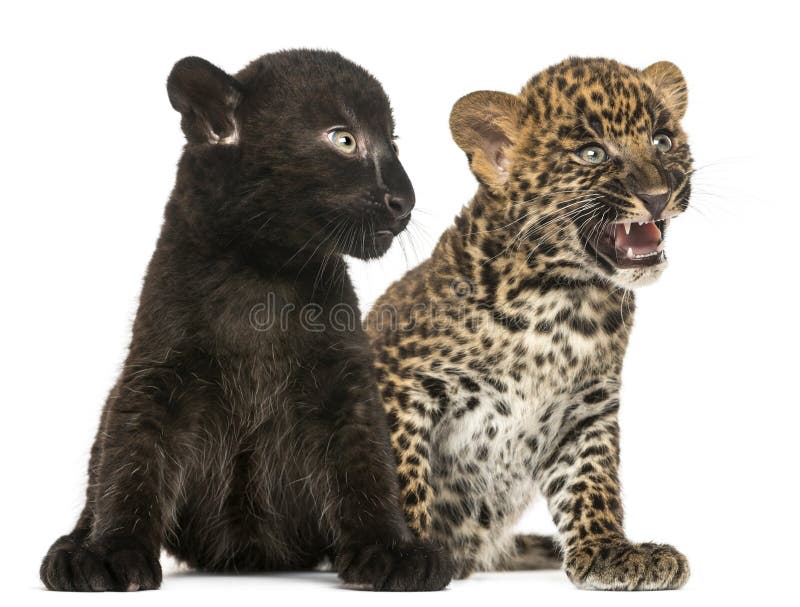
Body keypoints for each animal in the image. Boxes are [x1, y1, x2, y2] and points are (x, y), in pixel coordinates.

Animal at [366, 57, 693, 591]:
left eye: (663, 141)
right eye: (591, 153)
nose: (659, 196)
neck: (562, 301)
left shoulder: (585, 409)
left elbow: (592, 479)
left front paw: (610, 551)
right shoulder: (399, 380)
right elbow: (399, 473)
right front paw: (406, 554)